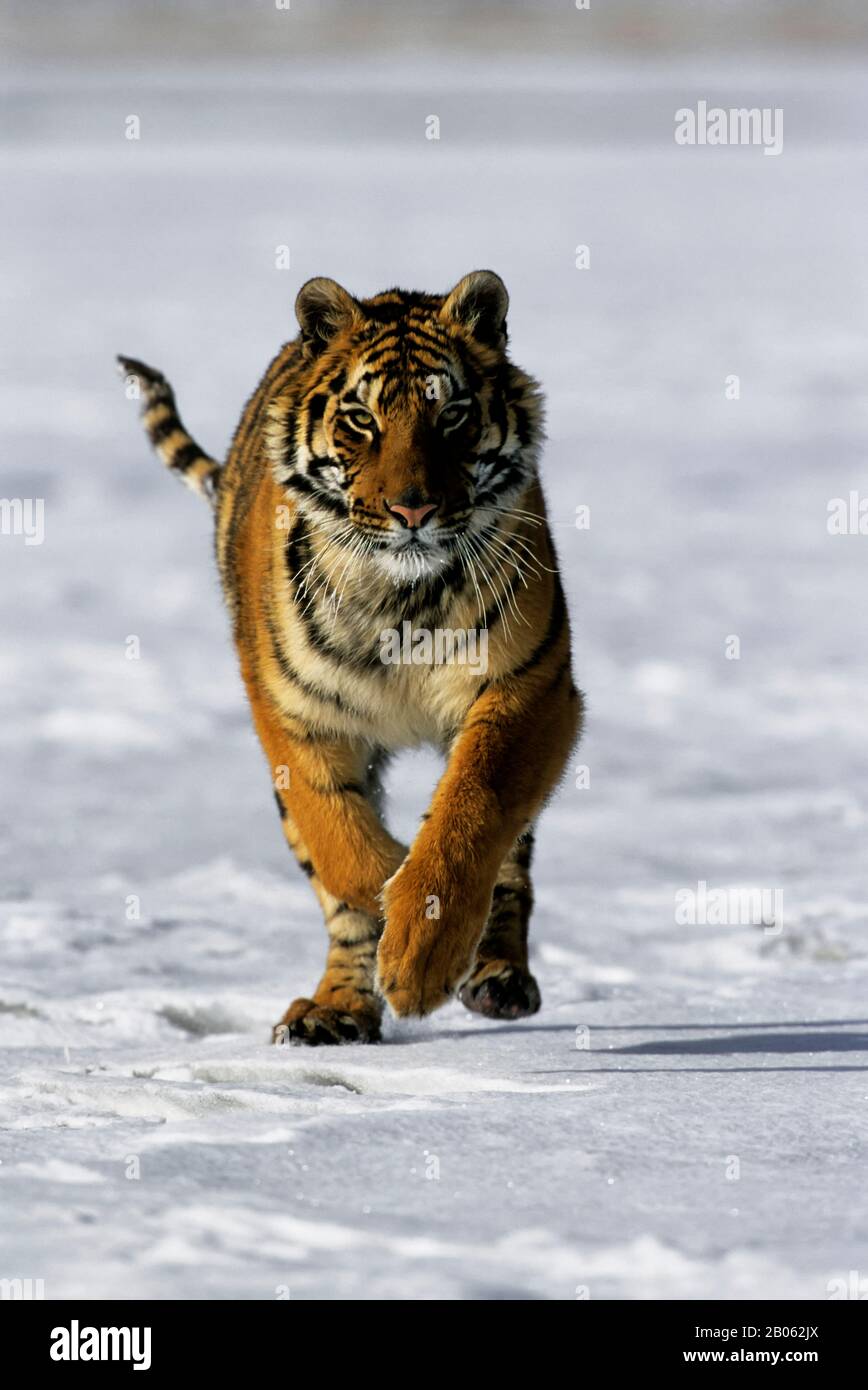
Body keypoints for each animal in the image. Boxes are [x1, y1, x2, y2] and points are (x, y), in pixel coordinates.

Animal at [118, 270, 582, 1045]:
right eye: (362, 420)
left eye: (452, 414)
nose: (412, 510)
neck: (402, 597)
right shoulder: (293, 711)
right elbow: (341, 837)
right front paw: (389, 895)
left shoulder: (530, 686)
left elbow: (472, 813)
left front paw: (422, 951)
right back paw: (334, 1009)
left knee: (512, 862)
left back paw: (497, 977)